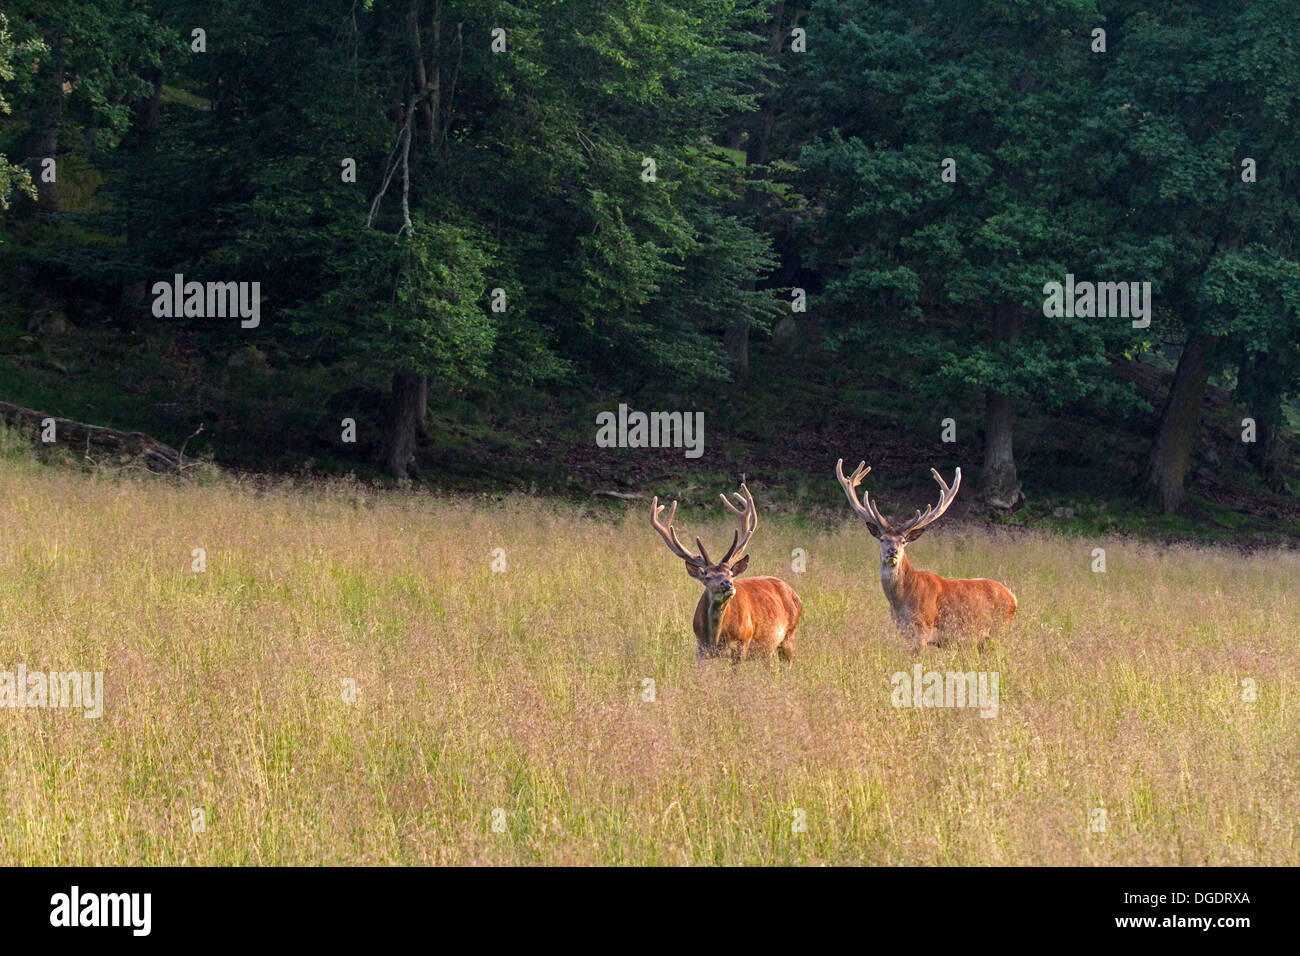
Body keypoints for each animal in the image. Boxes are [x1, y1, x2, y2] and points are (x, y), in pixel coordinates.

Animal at [651, 483, 802, 663]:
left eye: (730, 574)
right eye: (707, 577)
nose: (727, 584)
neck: (715, 639)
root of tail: (794, 594)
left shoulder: (743, 643)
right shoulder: (700, 648)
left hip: (790, 636)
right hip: (770, 648)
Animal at [835, 459, 1017, 651]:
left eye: (903, 541)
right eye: (882, 539)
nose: (893, 551)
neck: (901, 602)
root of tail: (1013, 597)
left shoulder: (923, 628)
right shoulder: (904, 631)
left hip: (999, 630)